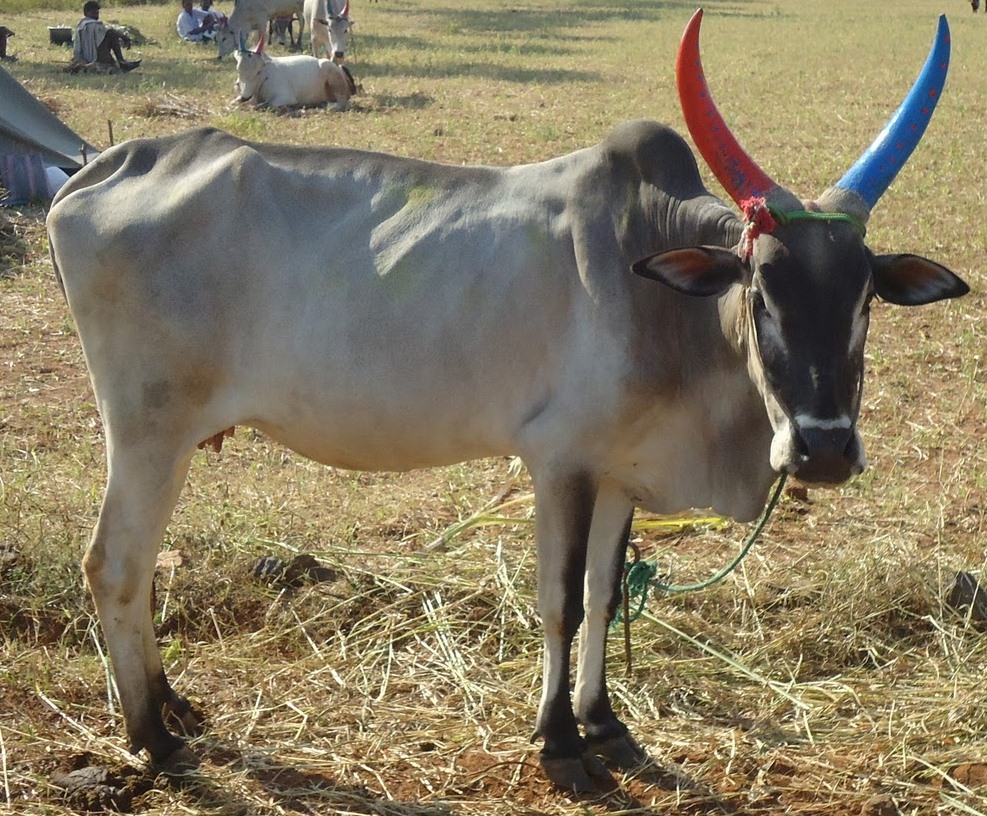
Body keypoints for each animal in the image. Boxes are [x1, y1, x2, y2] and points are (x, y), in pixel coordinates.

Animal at [46, 11, 966, 794]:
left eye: (864, 299)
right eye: (761, 291)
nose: (824, 448)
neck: (655, 284)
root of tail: (102, 166)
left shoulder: (619, 474)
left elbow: (603, 595)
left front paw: (605, 722)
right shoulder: (561, 462)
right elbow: (559, 602)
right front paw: (558, 740)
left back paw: (171, 704)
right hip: (147, 432)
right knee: (115, 564)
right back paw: (153, 735)